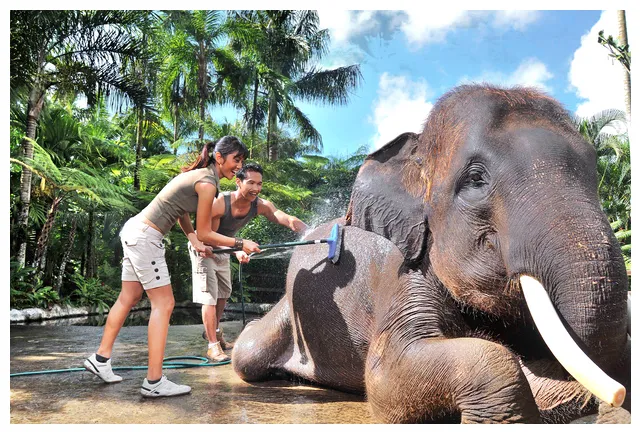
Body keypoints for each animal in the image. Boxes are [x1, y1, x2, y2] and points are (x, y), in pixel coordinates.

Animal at [231, 84, 631, 423]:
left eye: (594, 168)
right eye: (475, 180)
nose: (616, 396)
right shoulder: (403, 273)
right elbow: (385, 375)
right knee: (247, 354)